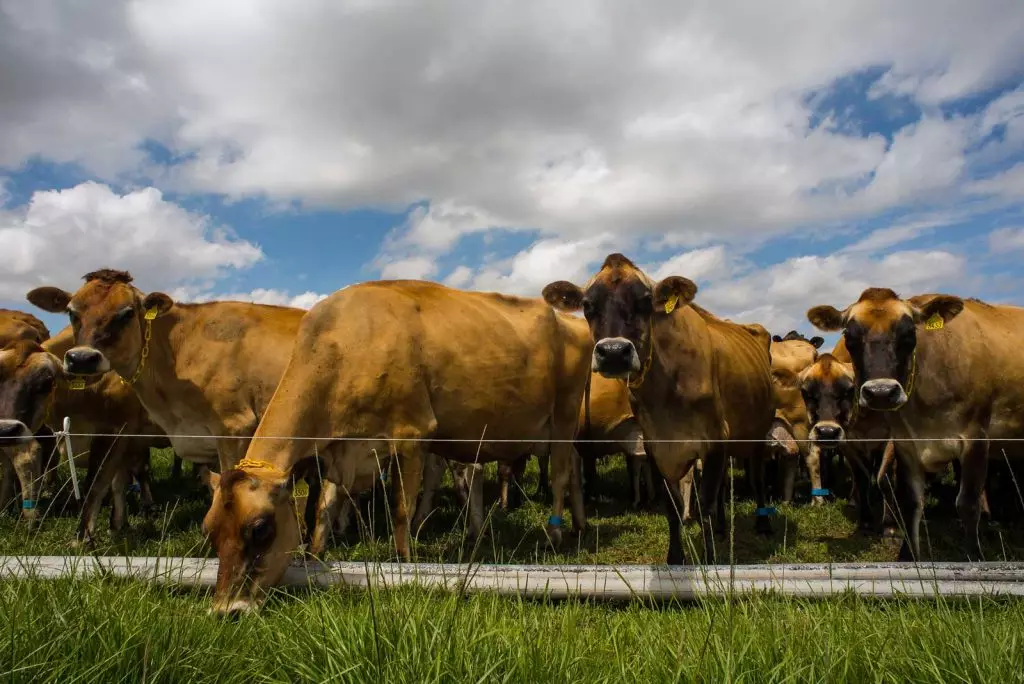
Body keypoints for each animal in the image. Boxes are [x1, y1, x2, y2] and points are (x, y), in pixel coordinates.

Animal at [199, 280, 593, 618]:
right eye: (209, 530)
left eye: (260, 528)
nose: (226, 611)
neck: (346, 344)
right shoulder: (338, 450)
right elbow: (323, 510)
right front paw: (314, 557)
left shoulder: (412, 433)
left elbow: (402, 508)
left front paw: (404, 561)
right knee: (573, 467)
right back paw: (578, 523)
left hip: (564, 413)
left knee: (560, 473)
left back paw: (556, 533)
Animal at [540, 253, 770, 565]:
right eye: (587, 305)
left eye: (646, 300)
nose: (614, 353)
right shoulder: (654, 445)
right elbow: (671, 506)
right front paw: (675, 557)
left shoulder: (714, 441)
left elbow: (706, 506)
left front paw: (710, 559)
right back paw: (724, 528)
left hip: (759, 431)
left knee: (757, 479)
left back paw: (763, 523)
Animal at [806, 288, 1024, 561]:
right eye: (849, 335)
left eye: (909, 333)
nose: (880, 393)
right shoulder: (900, 444)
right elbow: (907, 500)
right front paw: (905, 554)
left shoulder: (975, 439)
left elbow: (967, 502)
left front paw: (973, 555)